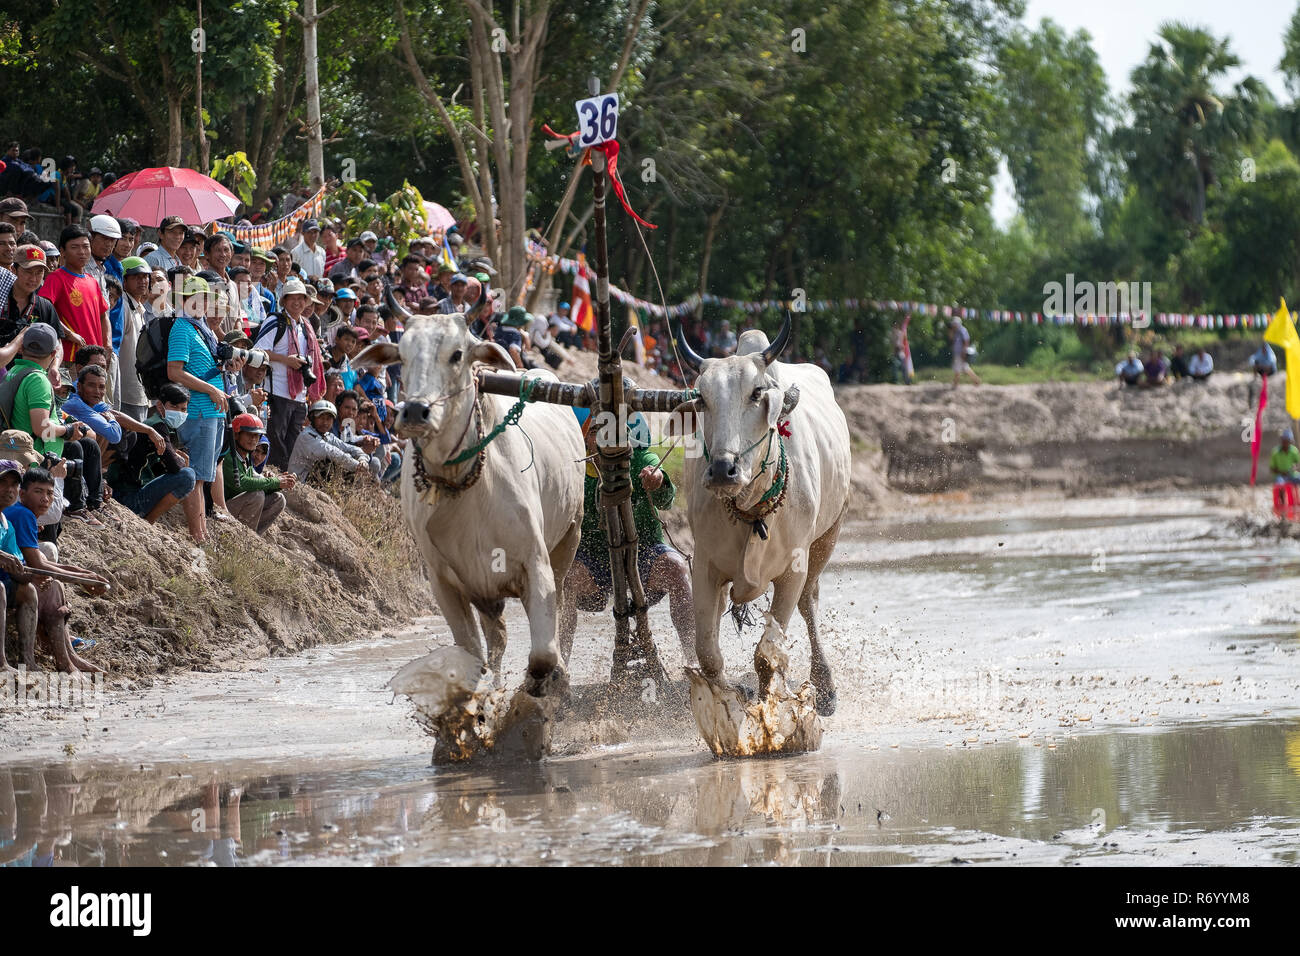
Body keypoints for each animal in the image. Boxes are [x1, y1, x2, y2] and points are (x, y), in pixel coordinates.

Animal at [355, 314, 585, 699]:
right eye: (402, 355)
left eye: (457, 354)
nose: (414, 411)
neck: (463, 486)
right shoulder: (444, 581)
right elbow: (472, 656)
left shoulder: (535, 564)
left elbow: (542, 655)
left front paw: (541, 691)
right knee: (497, 638)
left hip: (570, 537)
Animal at [671, 315, 851, 715]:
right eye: (701, 398)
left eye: (756, 393)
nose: (722, 470)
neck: (751, 508)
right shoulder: (704, 566)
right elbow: (708, 653)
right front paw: (728, 700)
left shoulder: (792, 571)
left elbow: (767, 656)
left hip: (828, 535)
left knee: (809, 603)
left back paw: (825, 686)